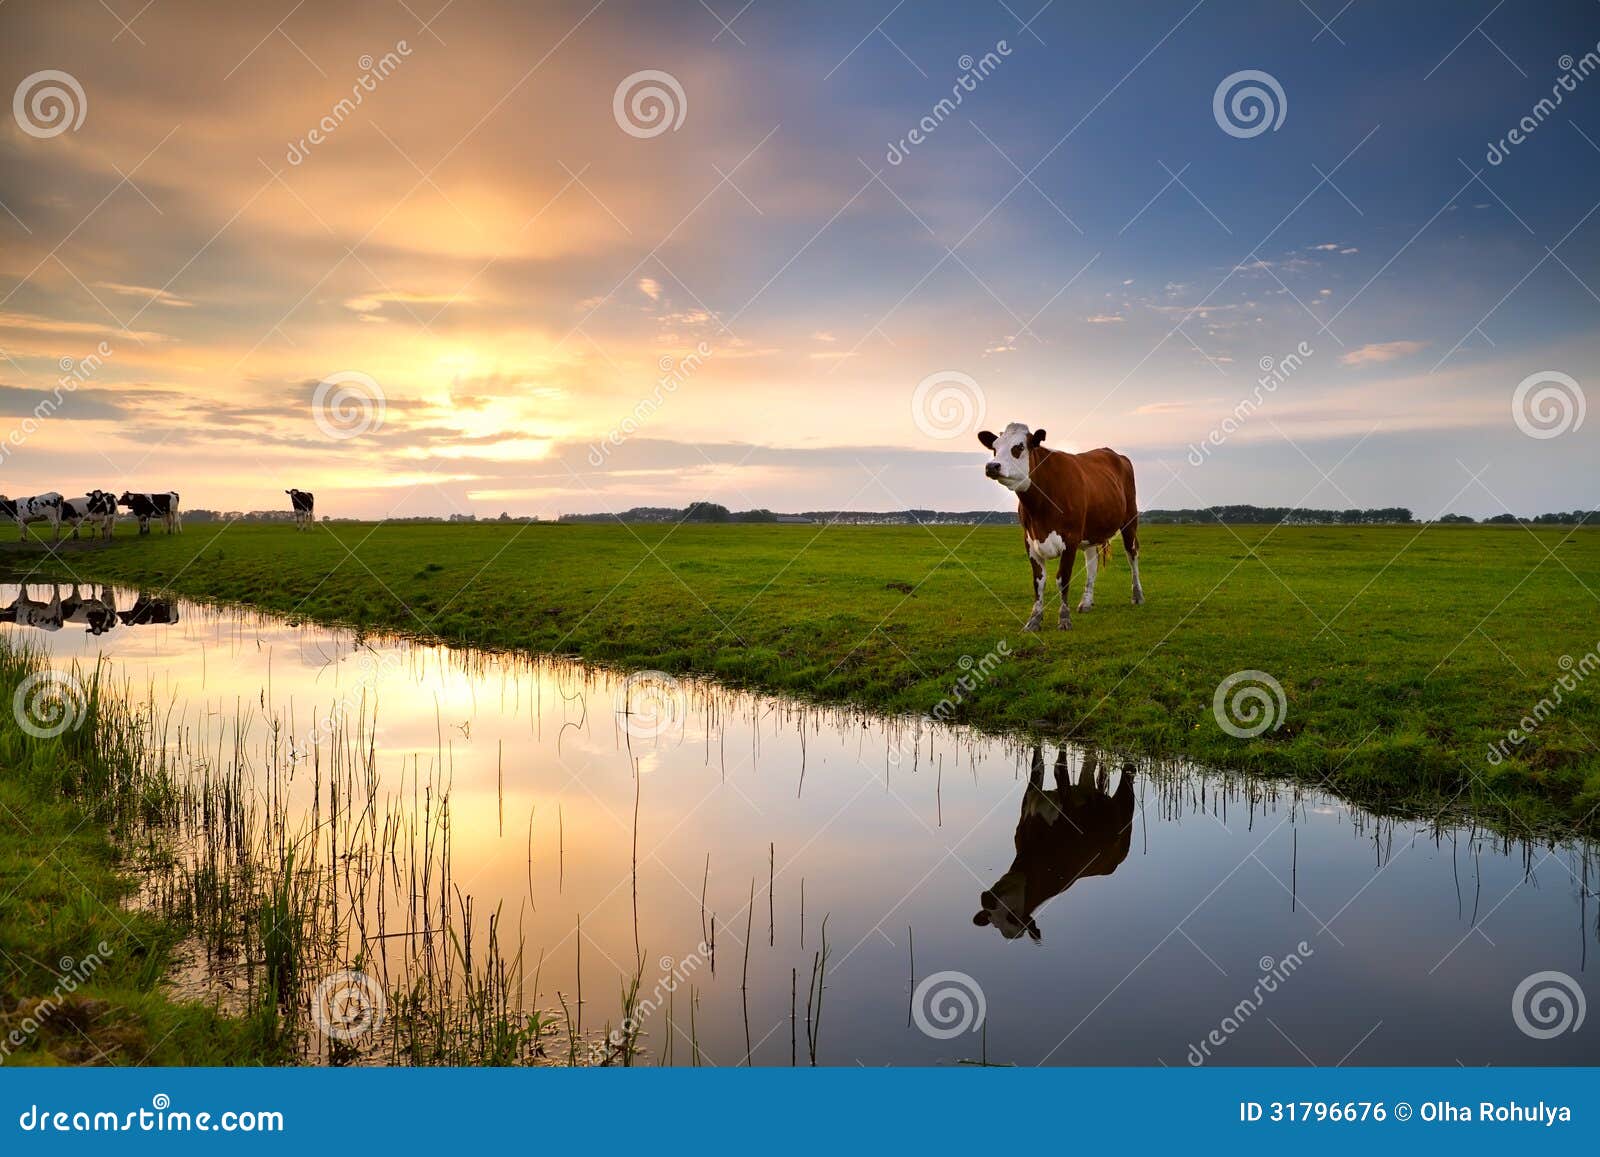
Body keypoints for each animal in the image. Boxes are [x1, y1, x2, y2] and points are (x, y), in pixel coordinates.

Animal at [972, 746, 1135, 941]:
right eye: (992, 918)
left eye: (1012, 917)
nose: (987, 899)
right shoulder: (1030, 798)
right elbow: (1038, 766)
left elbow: (1059, 767)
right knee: (1090, 765)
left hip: (1125, 809)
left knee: (1127, 778)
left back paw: (1129, 765)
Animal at [978, 424, 1143, 631]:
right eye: (995, 447)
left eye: (1019, 447)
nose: (992, 466)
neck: (1040, 506)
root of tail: (1113, 453)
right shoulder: (1030, 541)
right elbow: (1038, 581)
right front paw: (1034, 620)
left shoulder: (1070, 539)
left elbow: (1062, 579)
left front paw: (1064, 619)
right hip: (1091, 531)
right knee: (1092, 563)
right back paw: (1086, 602)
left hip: (1130, 521)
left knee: (1132, 555)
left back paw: (1137, 596)